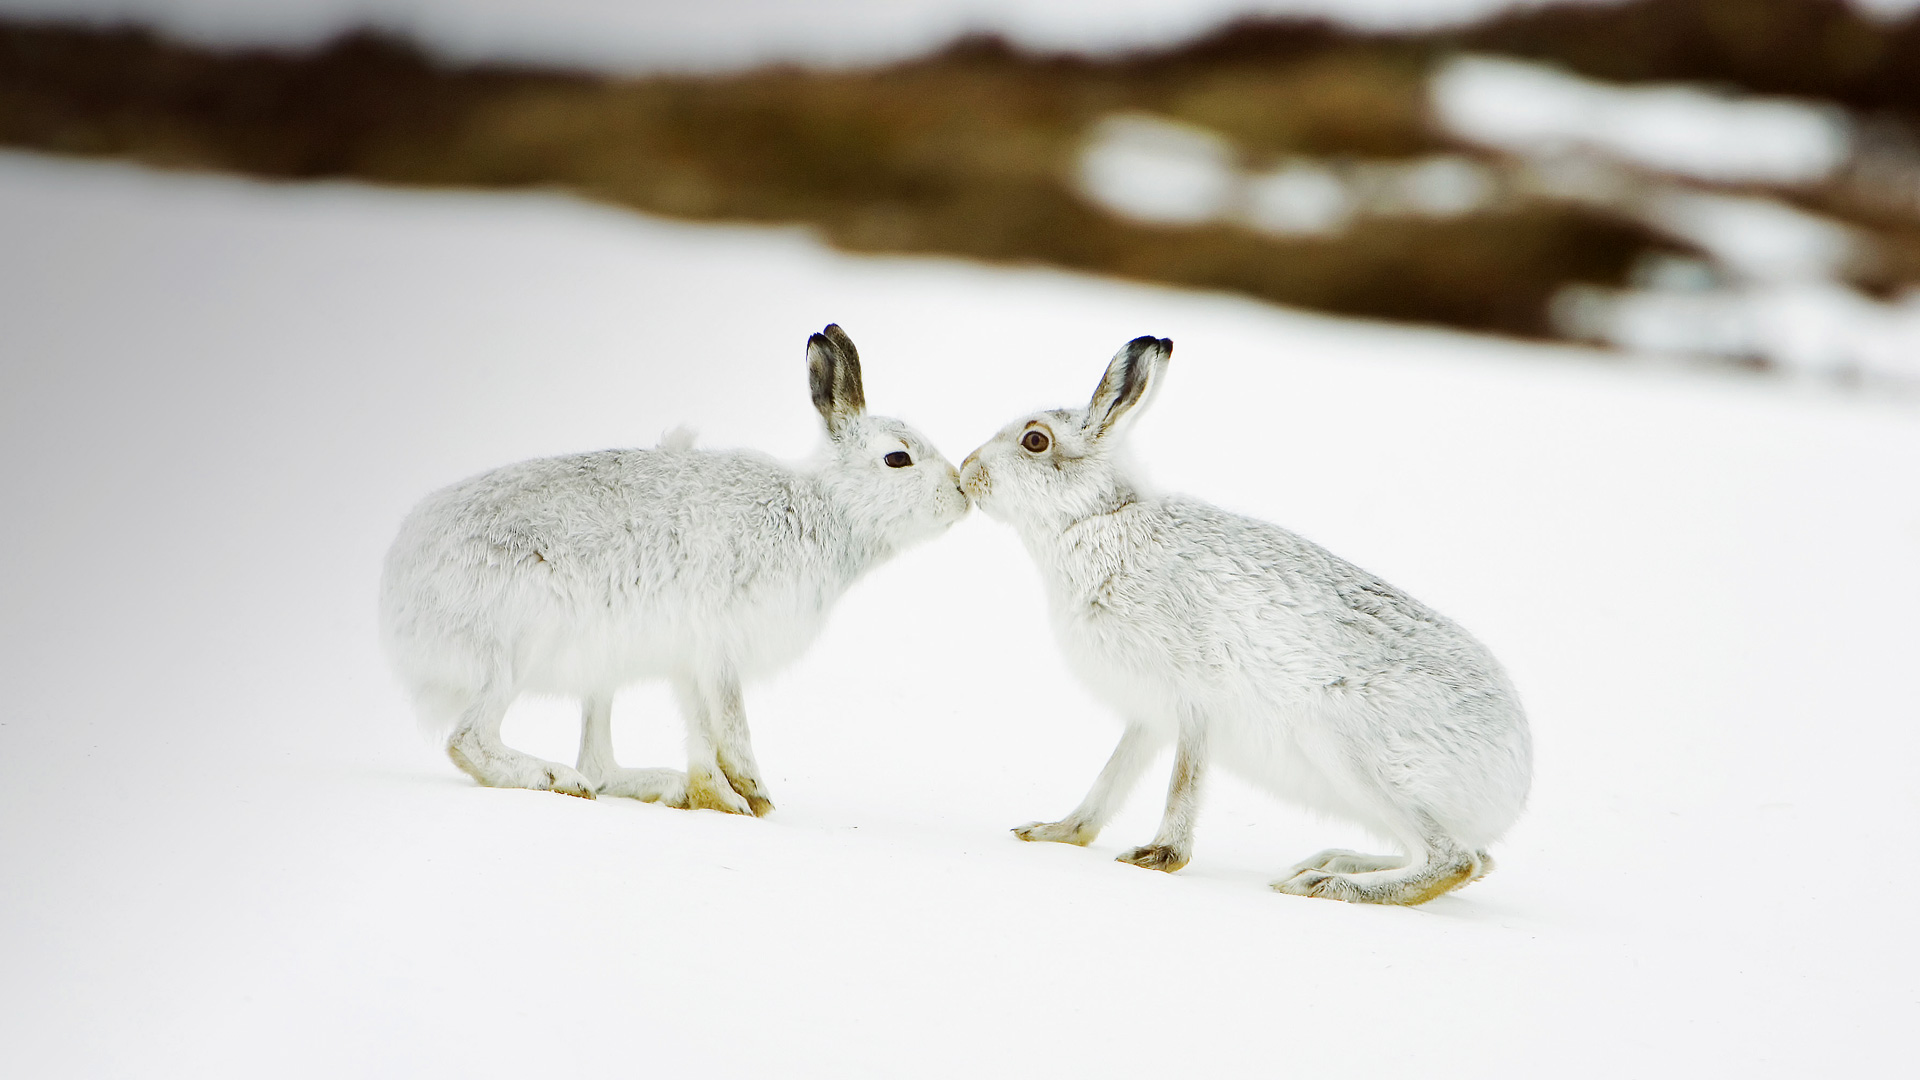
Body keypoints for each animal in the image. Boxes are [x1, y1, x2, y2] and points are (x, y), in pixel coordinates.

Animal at [380, 324, 969, 814]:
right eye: (898, 458)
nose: (961, 492)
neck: (824, 507)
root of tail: (398, 606)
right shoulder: (718, 643)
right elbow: (731, 724)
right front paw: (754, 798)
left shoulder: (691, 658)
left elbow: (702, 727)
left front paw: (720, 797)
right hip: (517, 645)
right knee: (469, 741)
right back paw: (556, 778)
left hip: (599, 671)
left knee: (599, 762)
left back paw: (661, 786)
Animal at [958, 336, 1531, 904]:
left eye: (1036, 441)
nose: (966, 472)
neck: (1099, 516)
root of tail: (1516, 780)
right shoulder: (1148, 712)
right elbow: (1111, 777)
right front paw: (1053, 832)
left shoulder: (1192, 702)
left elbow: (1183, 781)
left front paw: (1158, 857)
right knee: (1475, 860)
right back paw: (1327, 862)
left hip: (1345, 743)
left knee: (1454, 860)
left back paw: (1328, 884)